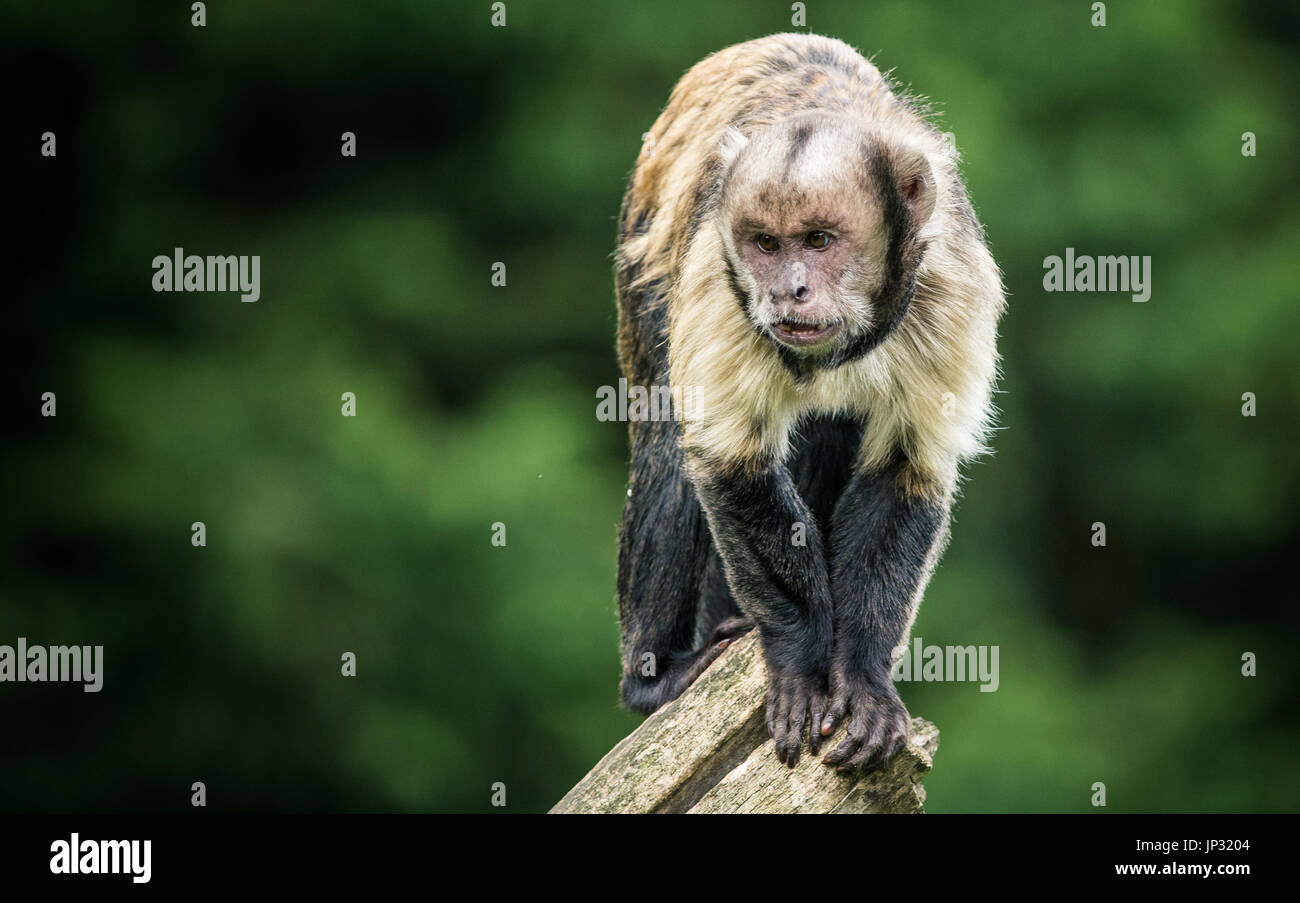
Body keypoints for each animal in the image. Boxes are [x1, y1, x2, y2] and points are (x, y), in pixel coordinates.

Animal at [613, 33, 1005, 771]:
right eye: (767, 244)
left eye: (819, 240)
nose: (787, 289)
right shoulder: (714, 267)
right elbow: (729, 462)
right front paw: (799, 659)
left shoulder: (953, 277)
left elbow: (904, 470)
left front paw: (862, 676)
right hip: (642, 254)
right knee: (669, 447)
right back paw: (656, 676)